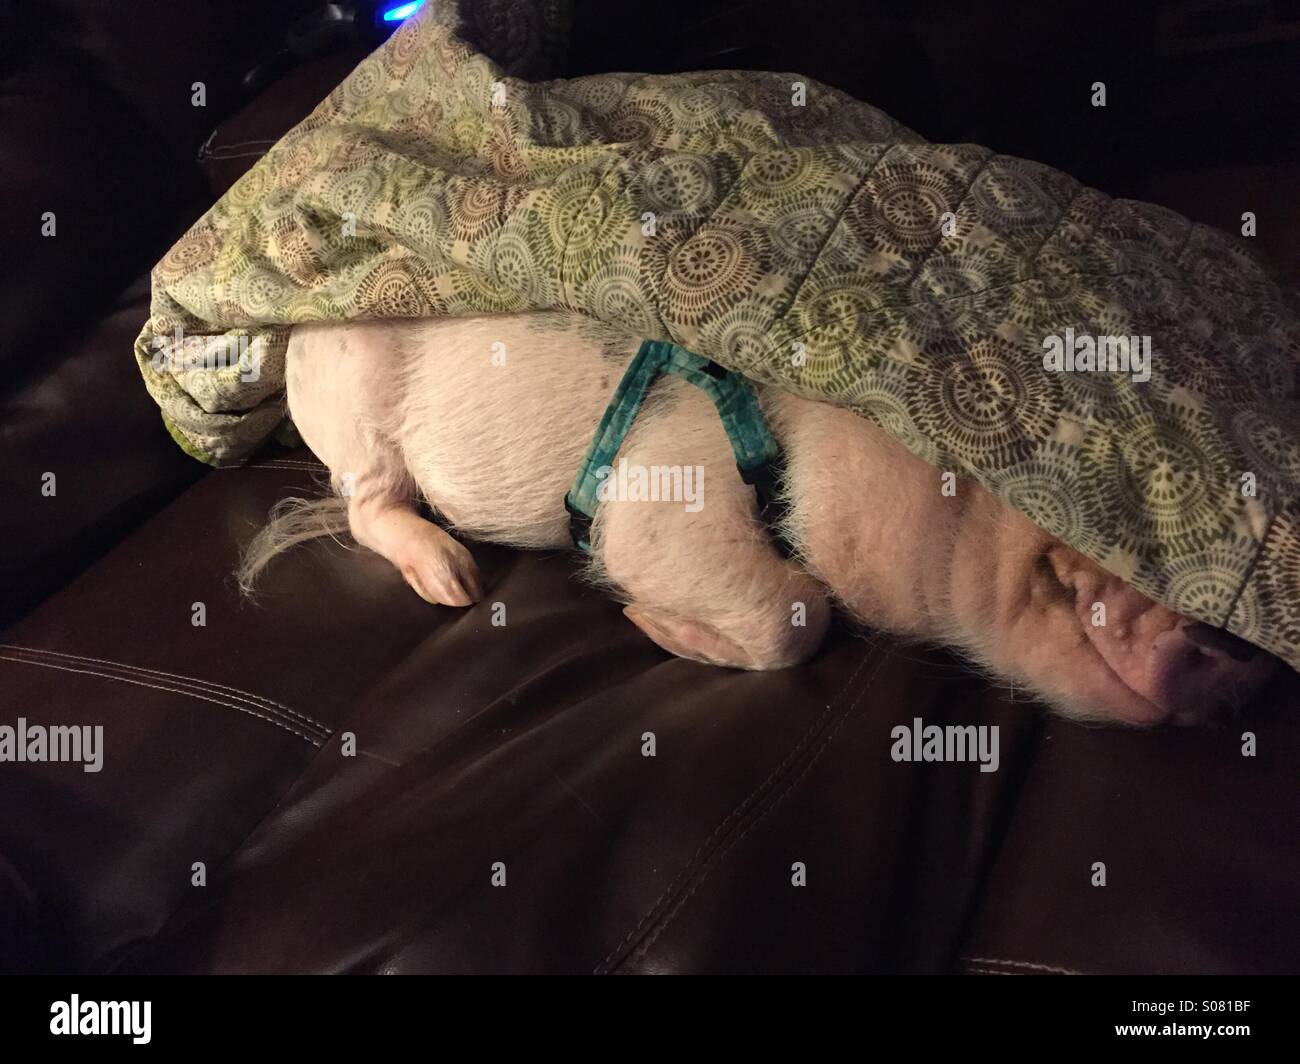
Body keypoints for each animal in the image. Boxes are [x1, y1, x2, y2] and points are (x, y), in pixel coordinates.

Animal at [239, 311, 1282, 726]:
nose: (1250, 651)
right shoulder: (664, 486)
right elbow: (795, 612)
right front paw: (644, 624)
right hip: (357, 406)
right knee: (368, 504)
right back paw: (453, 583)